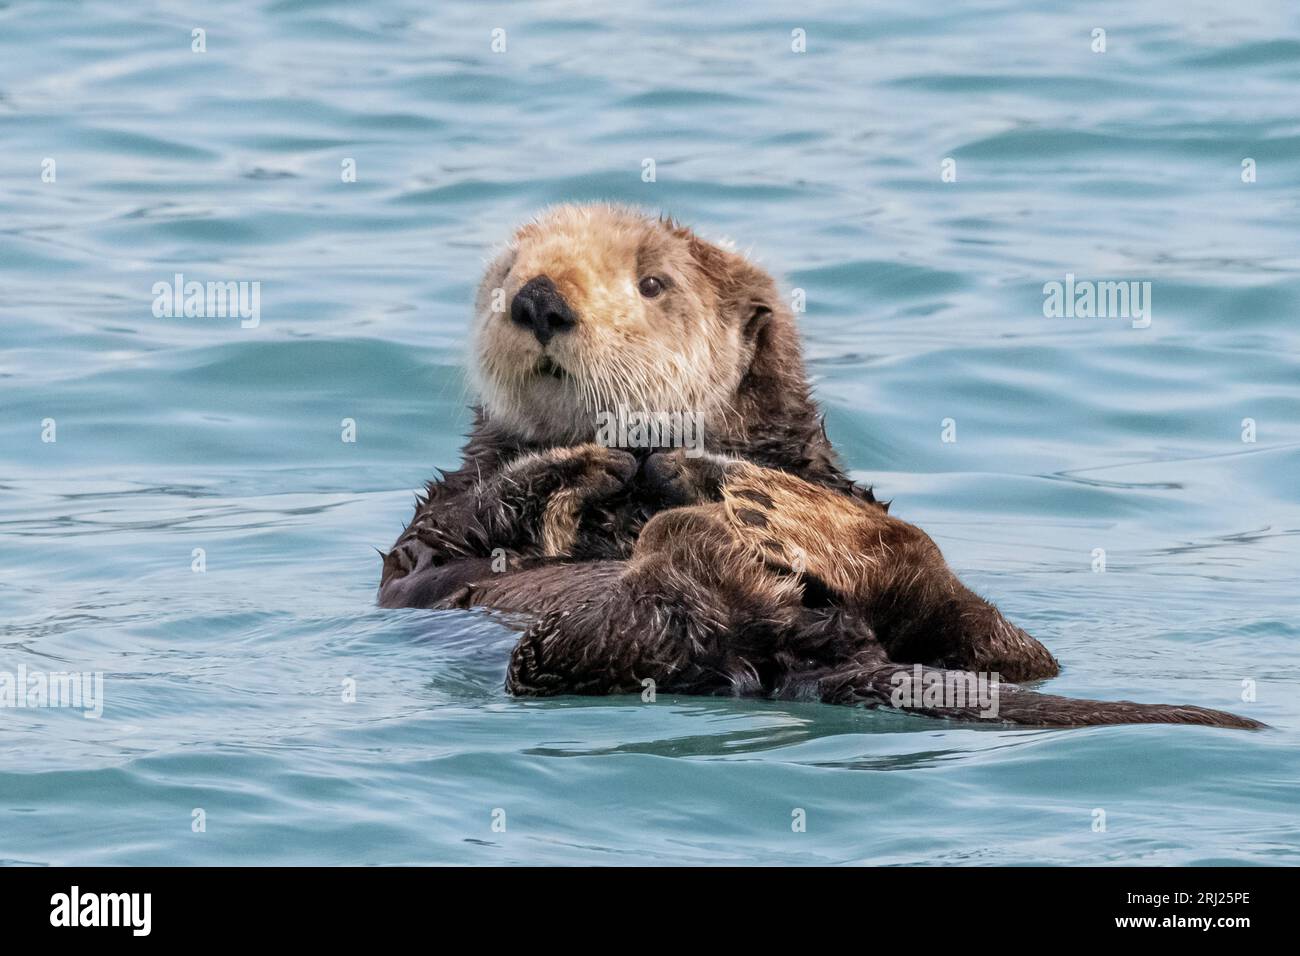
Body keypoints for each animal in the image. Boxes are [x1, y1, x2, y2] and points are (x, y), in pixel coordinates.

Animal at [378, 203, 1262, 730]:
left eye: (652, 282)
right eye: (503, 277)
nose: (536, 298)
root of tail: (794, 652)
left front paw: (637, 464)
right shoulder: (430, 533)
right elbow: (447, 534)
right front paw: (584, 464)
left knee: (997, 637)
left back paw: (764, 502)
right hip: (574, 654)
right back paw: (715, 517)